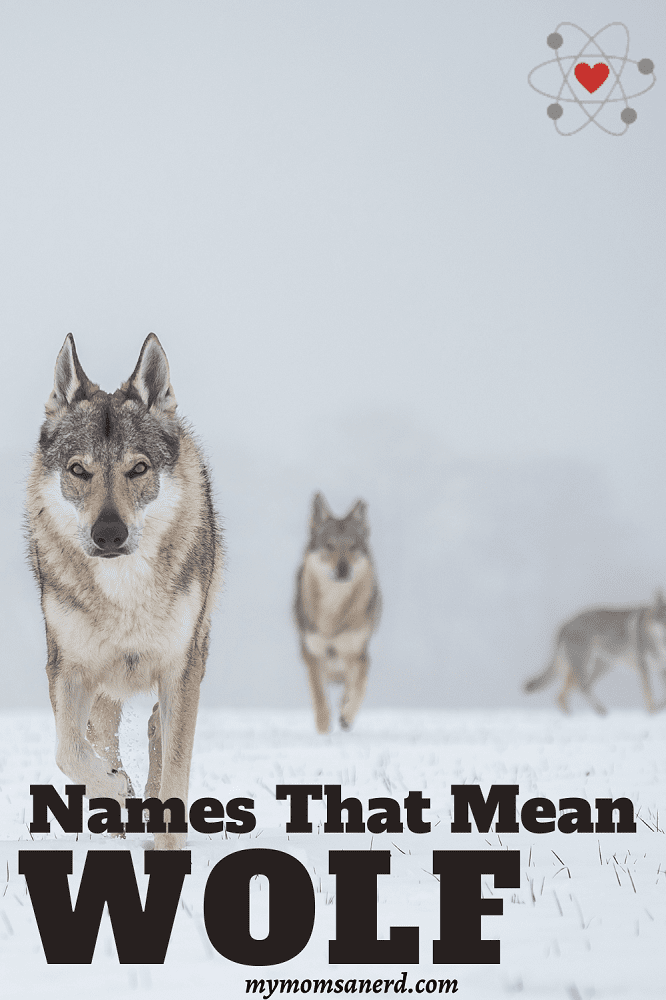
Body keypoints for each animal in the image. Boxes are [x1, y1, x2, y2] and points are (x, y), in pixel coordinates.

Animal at [26, 333, 222, 849]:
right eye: (79, 470)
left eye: (138, 469)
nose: (109, 534)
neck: (124, 594)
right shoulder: (67, 668)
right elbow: (69, 751)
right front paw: (113, 790)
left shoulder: (180, 667)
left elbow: (175, 768)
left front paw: (168, 848)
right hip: (101, 684)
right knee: (103, 734)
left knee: (156, 727)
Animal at [294, 493, 381, 733]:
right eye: (329, 546)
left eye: (352, 546)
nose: (343, 569)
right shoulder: (312, 654)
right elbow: (318, 694)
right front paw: (324, 725)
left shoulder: (359, 655)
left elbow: (358, 687)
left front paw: (347, 716)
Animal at [524, 592, 666, 714]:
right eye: (663, 621)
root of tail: (564, 624)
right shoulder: (643, 667)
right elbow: (649, 692)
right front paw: (653, 711)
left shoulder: (661, 670)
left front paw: (658, 708)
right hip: (584, 666)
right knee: (568, 692)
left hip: (601, 666)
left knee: (578, 689)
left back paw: (598, 712)